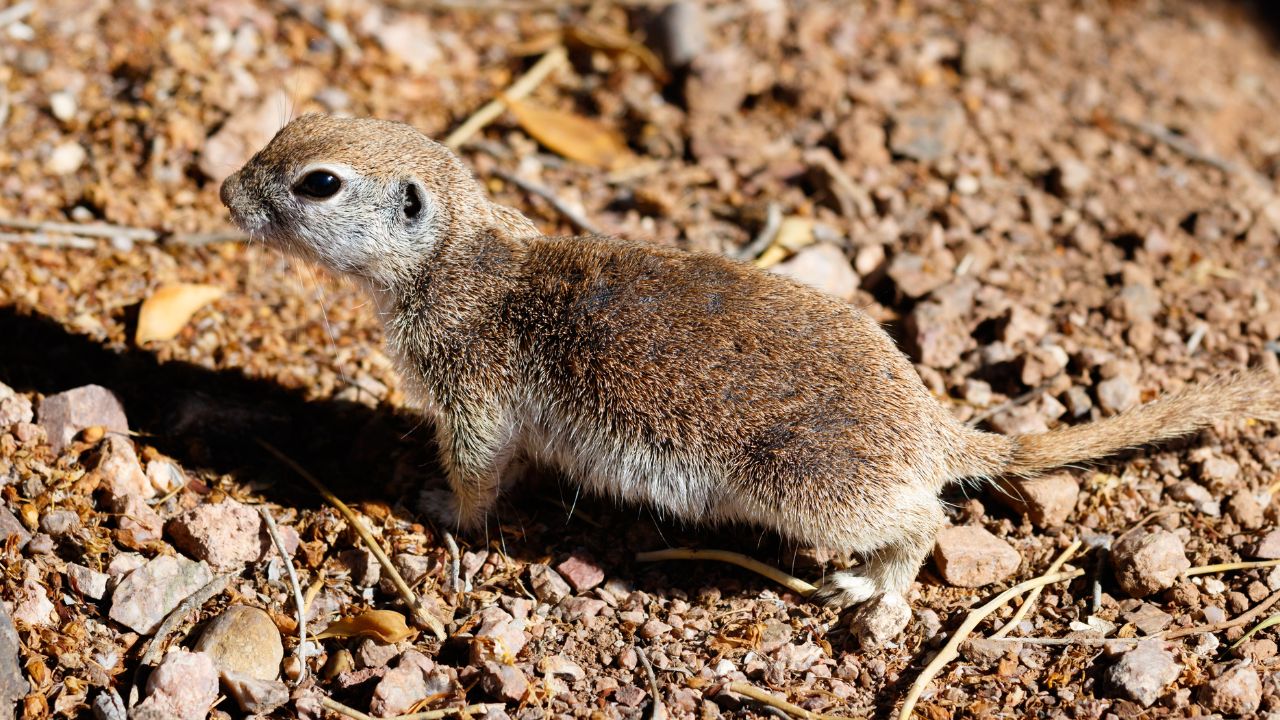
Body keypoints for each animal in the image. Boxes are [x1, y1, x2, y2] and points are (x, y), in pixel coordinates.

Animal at [221, 113, 1280, 618]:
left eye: (319, 183)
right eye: (289, 127)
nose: (226, 190)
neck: (458, 257)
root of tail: (934, 424)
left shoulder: (473, 393)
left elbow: (479, 472)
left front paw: (442, 509)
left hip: (816, 494)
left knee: (925, 521)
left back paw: (877, 595)